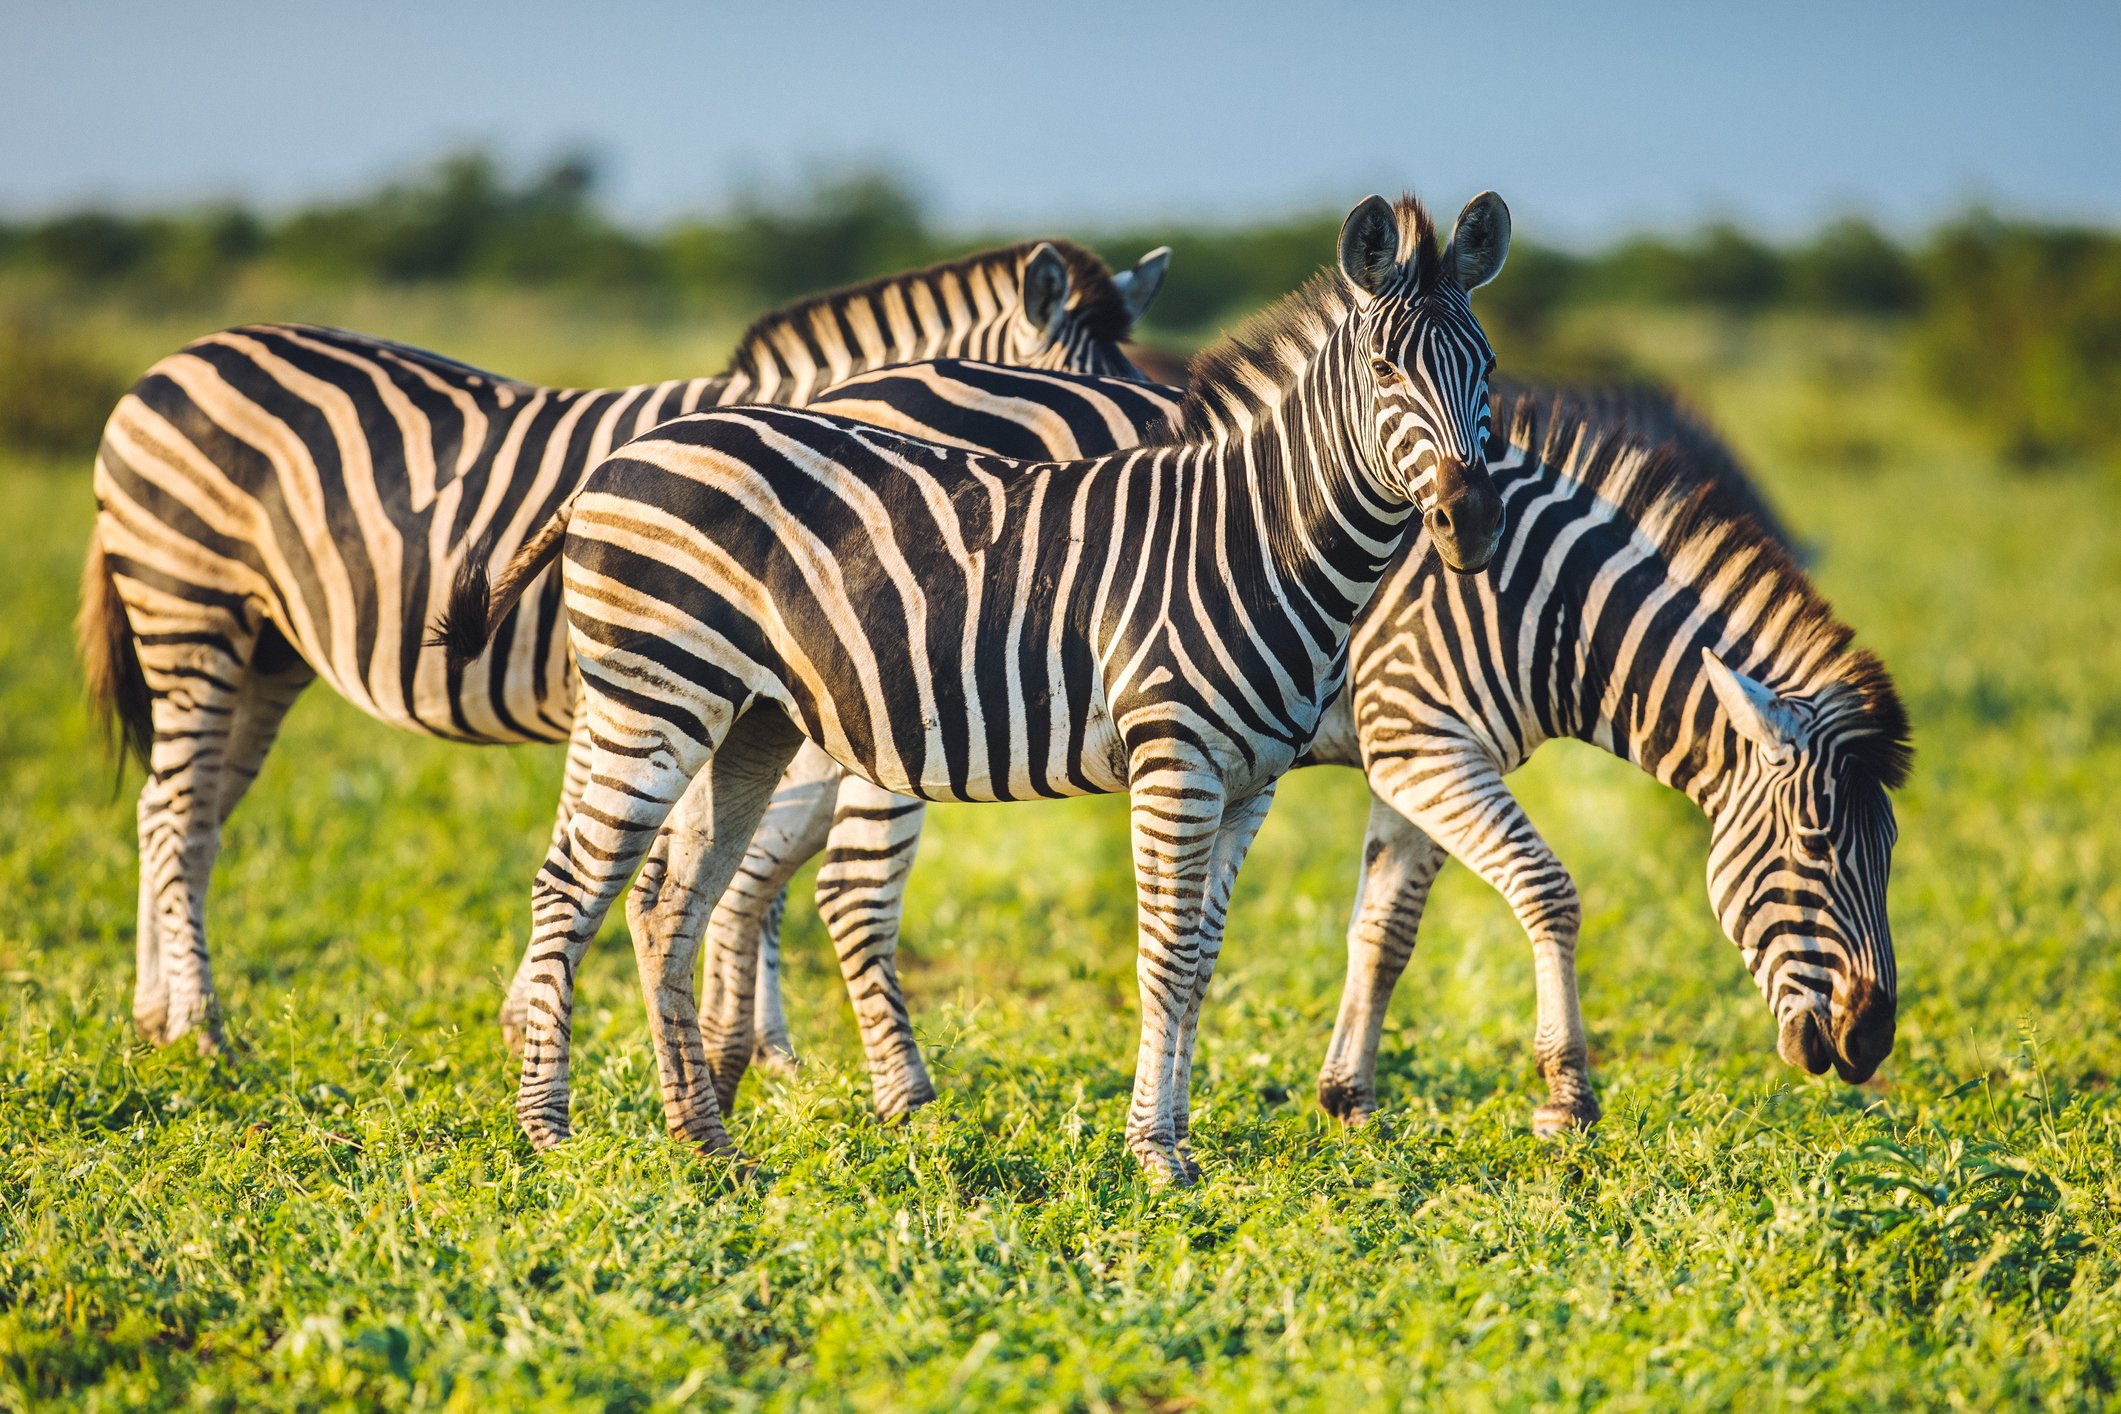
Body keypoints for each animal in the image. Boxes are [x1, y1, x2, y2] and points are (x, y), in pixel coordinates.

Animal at [78, 236, 1171, 1052]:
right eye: (1094, 416)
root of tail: (174, 360)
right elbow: (698, 861)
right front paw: (715, 1040)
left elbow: (725, 864)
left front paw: (745, 1045)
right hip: (189, 608)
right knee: (179, 812)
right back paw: (202, 1027)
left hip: (270, 649)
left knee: (173, 809)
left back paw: (157, 1016)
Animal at [438, 191, 1514, 1182]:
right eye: (1385, 373)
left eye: (1489, 372)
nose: (1469, 522)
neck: (1254, 537)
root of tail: (612, 464)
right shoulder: (1176, 761)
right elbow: (1165, 954)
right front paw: (1157, 1154)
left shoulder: (1251, 782)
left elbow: (1202, 959)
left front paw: (1176, 1143)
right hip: (654, 692)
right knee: (571, 885)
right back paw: (549, 1135)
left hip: (748, 717)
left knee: (669, 899)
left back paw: (706, 1143)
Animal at [705, 385, 1907, 1136]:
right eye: (1815, 846)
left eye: (1888, 856)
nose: (1870, 1040)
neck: (1532, 599)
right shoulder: (1423, 738)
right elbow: (1548, 890)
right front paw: (1567, 1097)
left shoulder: (1411, 759)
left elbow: (1384, 930)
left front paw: (1348, 1096)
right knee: (838, 888)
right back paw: (897, 1101)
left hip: (812, 718)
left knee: (747, 868)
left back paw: (743, 1064)